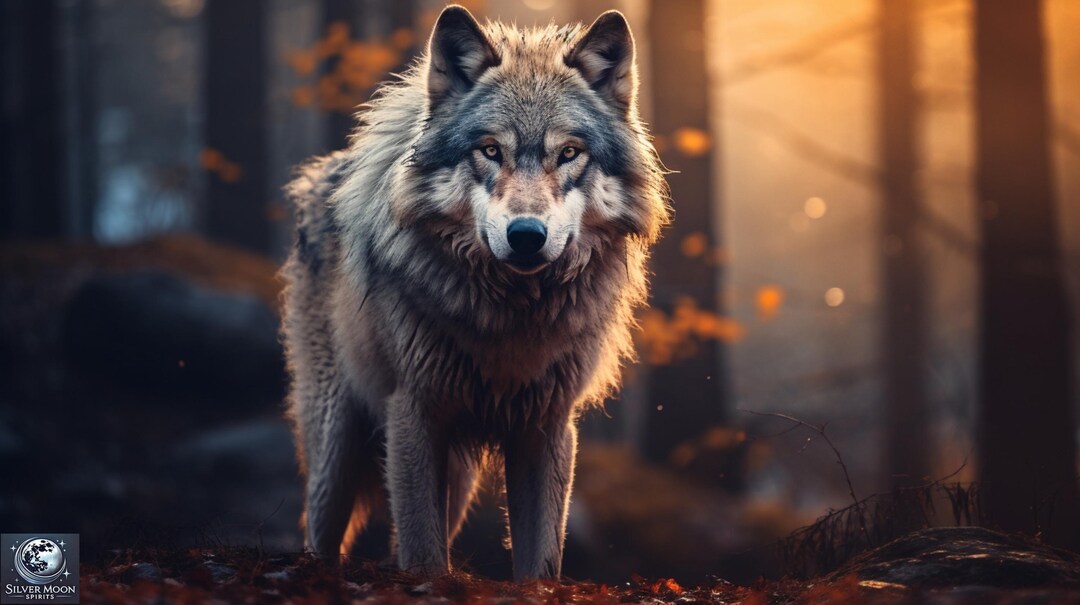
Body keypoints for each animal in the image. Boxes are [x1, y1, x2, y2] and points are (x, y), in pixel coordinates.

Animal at [281, 5, 669, 580]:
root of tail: (322, 176)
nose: (527, 235)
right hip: (338, 444)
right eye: (490, 150)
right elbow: (423, 553)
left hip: (457, 476)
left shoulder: (548, 427)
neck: (511, 321)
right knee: (321, 532)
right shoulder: (412, 411)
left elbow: (539, 559)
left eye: (569, 153)